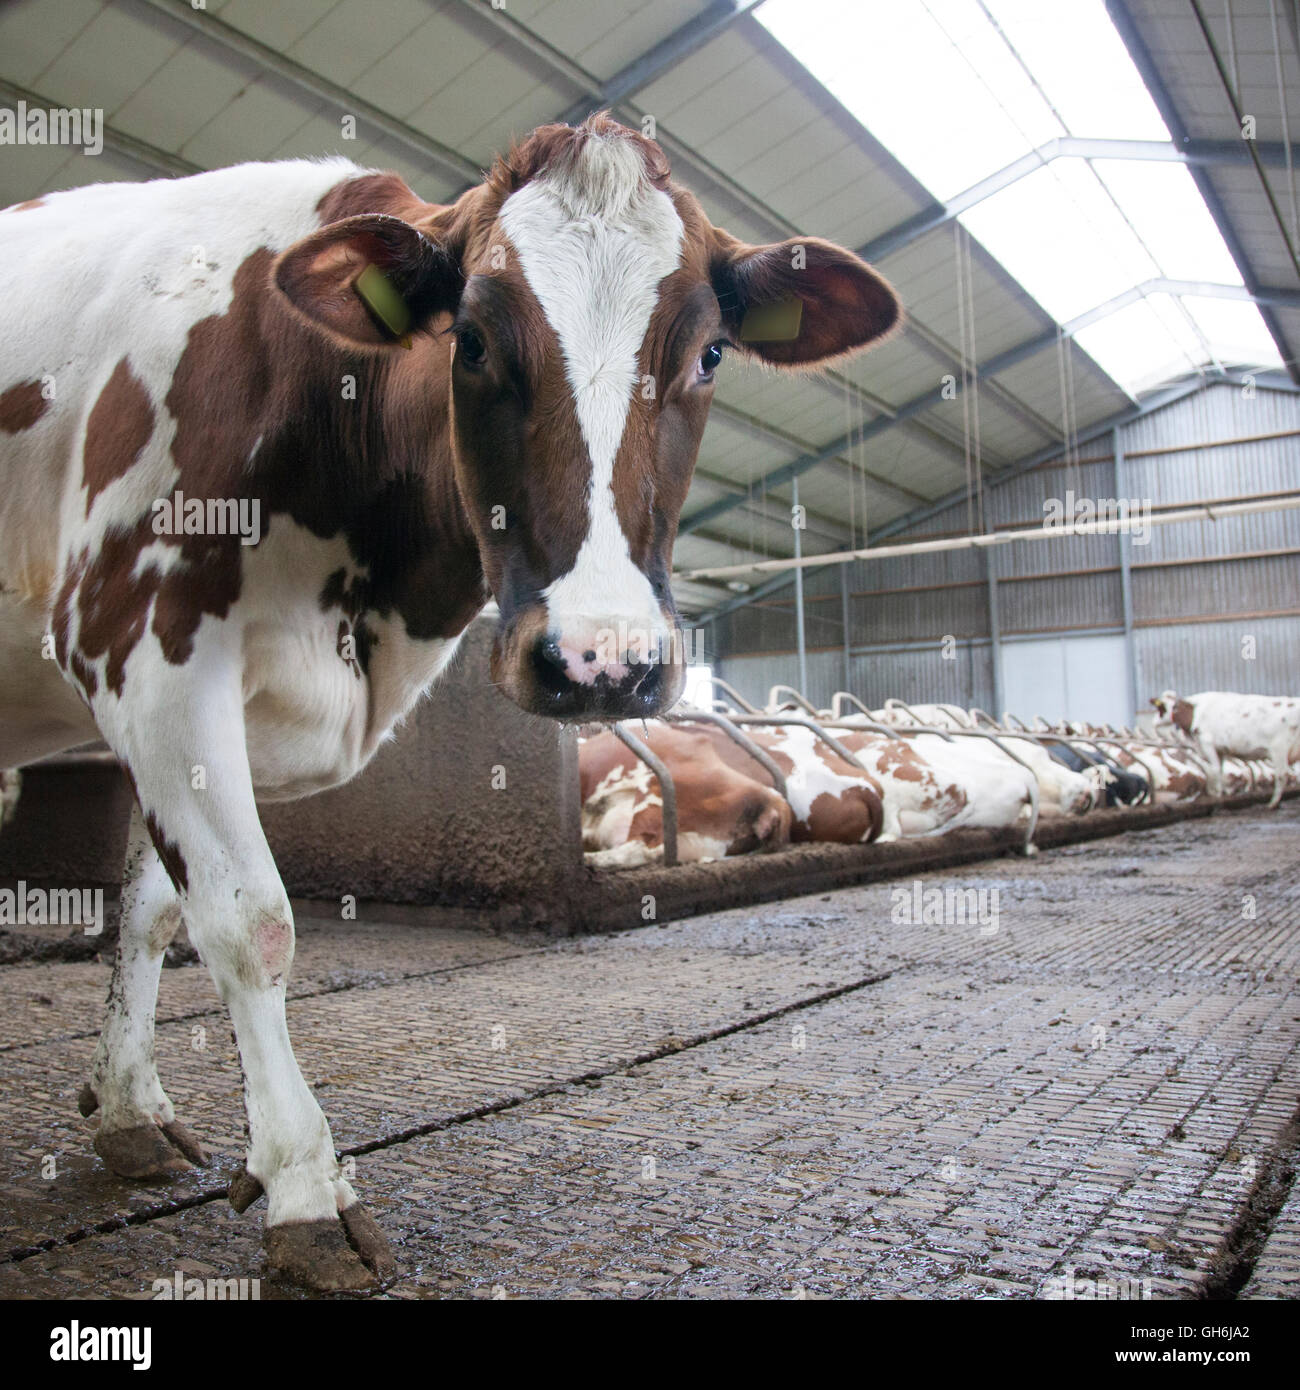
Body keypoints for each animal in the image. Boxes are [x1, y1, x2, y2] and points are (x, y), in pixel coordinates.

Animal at [1152, 691, 1300, 808]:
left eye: (1161, 709)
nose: (1154, 722)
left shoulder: (1207, 743)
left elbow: (1215, 769)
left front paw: (1216, 795)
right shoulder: (1220, 750)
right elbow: (1221, 770)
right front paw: (1222, 793)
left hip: (1279, 749)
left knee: (1281, 776)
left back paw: (1272, 804)